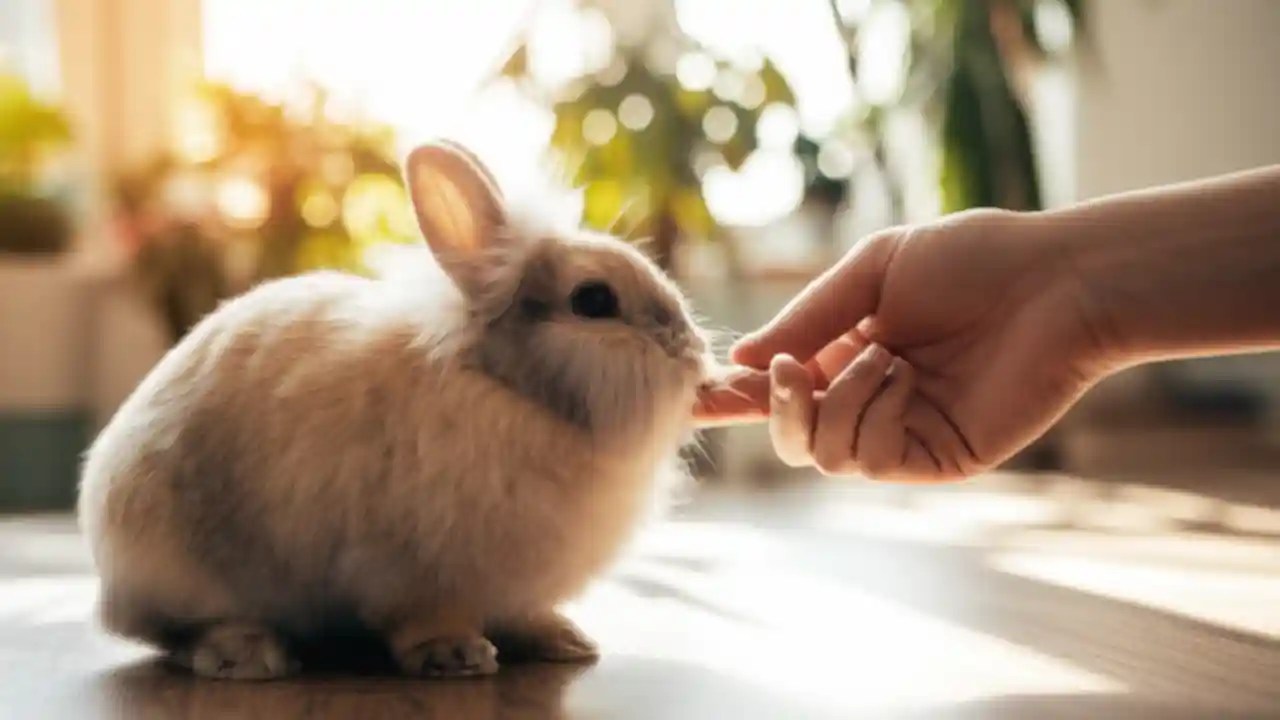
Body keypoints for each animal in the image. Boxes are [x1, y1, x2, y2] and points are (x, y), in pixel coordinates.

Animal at [78, 141, 715, 680]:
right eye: (594, 300)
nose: (692, 353)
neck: (510, 391)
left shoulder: (515, 587)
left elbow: (524, 615)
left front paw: (564, 641)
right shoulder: (411, 573)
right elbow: (423, 621)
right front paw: (457, 655)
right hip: (180, 565)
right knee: (180, 633)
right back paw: (251, 655)